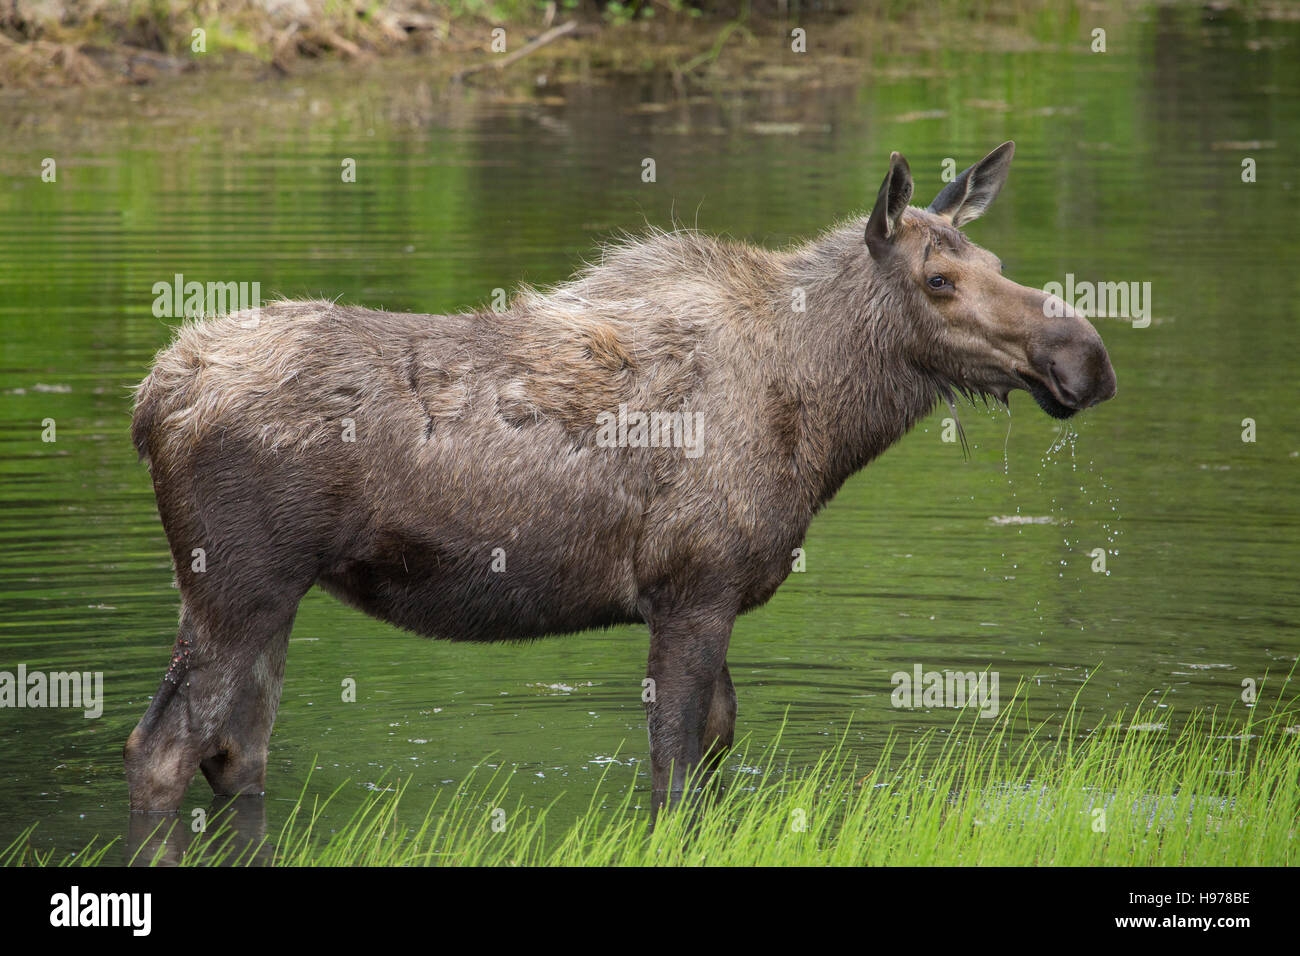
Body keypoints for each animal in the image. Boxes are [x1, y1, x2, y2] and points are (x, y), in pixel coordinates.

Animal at [124, 141, 1118, 811]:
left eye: (996, 262)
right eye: (940, 279)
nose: (1087, 357)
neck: (826, 420)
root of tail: (151, 398)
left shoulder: (710, 596)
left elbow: (715, 752)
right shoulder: (692, 589)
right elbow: (673, 769)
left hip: (251, 598)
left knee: (235, 753)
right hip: (241, 588)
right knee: (162, 750)